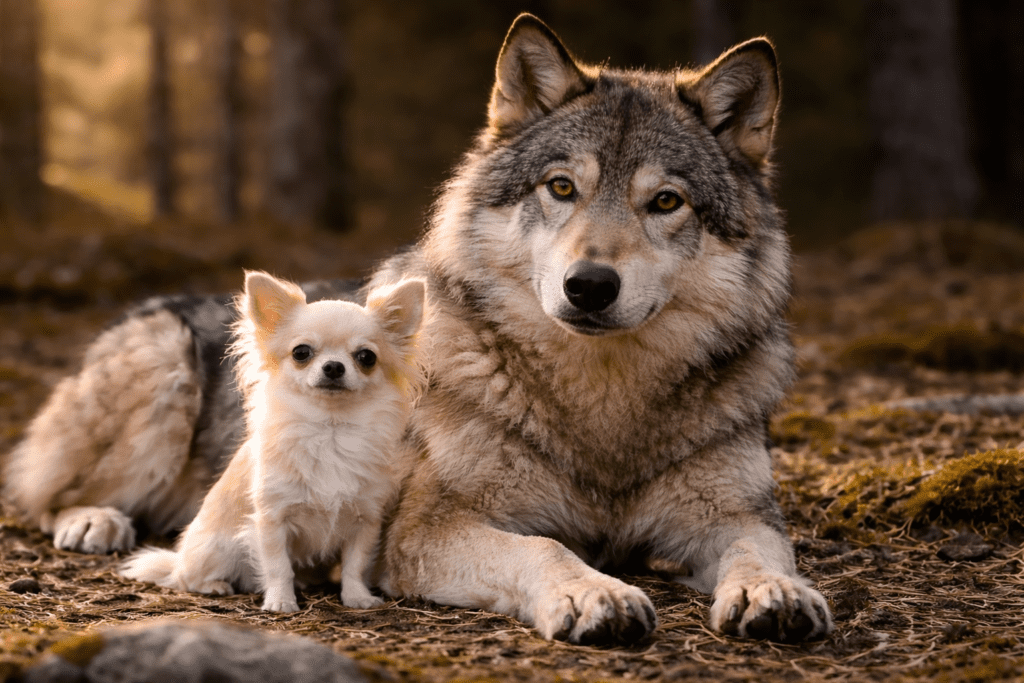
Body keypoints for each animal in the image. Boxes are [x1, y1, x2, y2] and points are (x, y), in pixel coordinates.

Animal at [2, 15, 832, 644]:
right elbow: (544, 547)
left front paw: (775, 593)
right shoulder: (424, 530)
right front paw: (595, 592)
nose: (591, 286)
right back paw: (94, 522)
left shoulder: (731, 514)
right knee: (40, 490)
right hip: (162, 377)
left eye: (665, 202)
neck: (603, 408)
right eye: (562, 187)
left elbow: (767, 548)